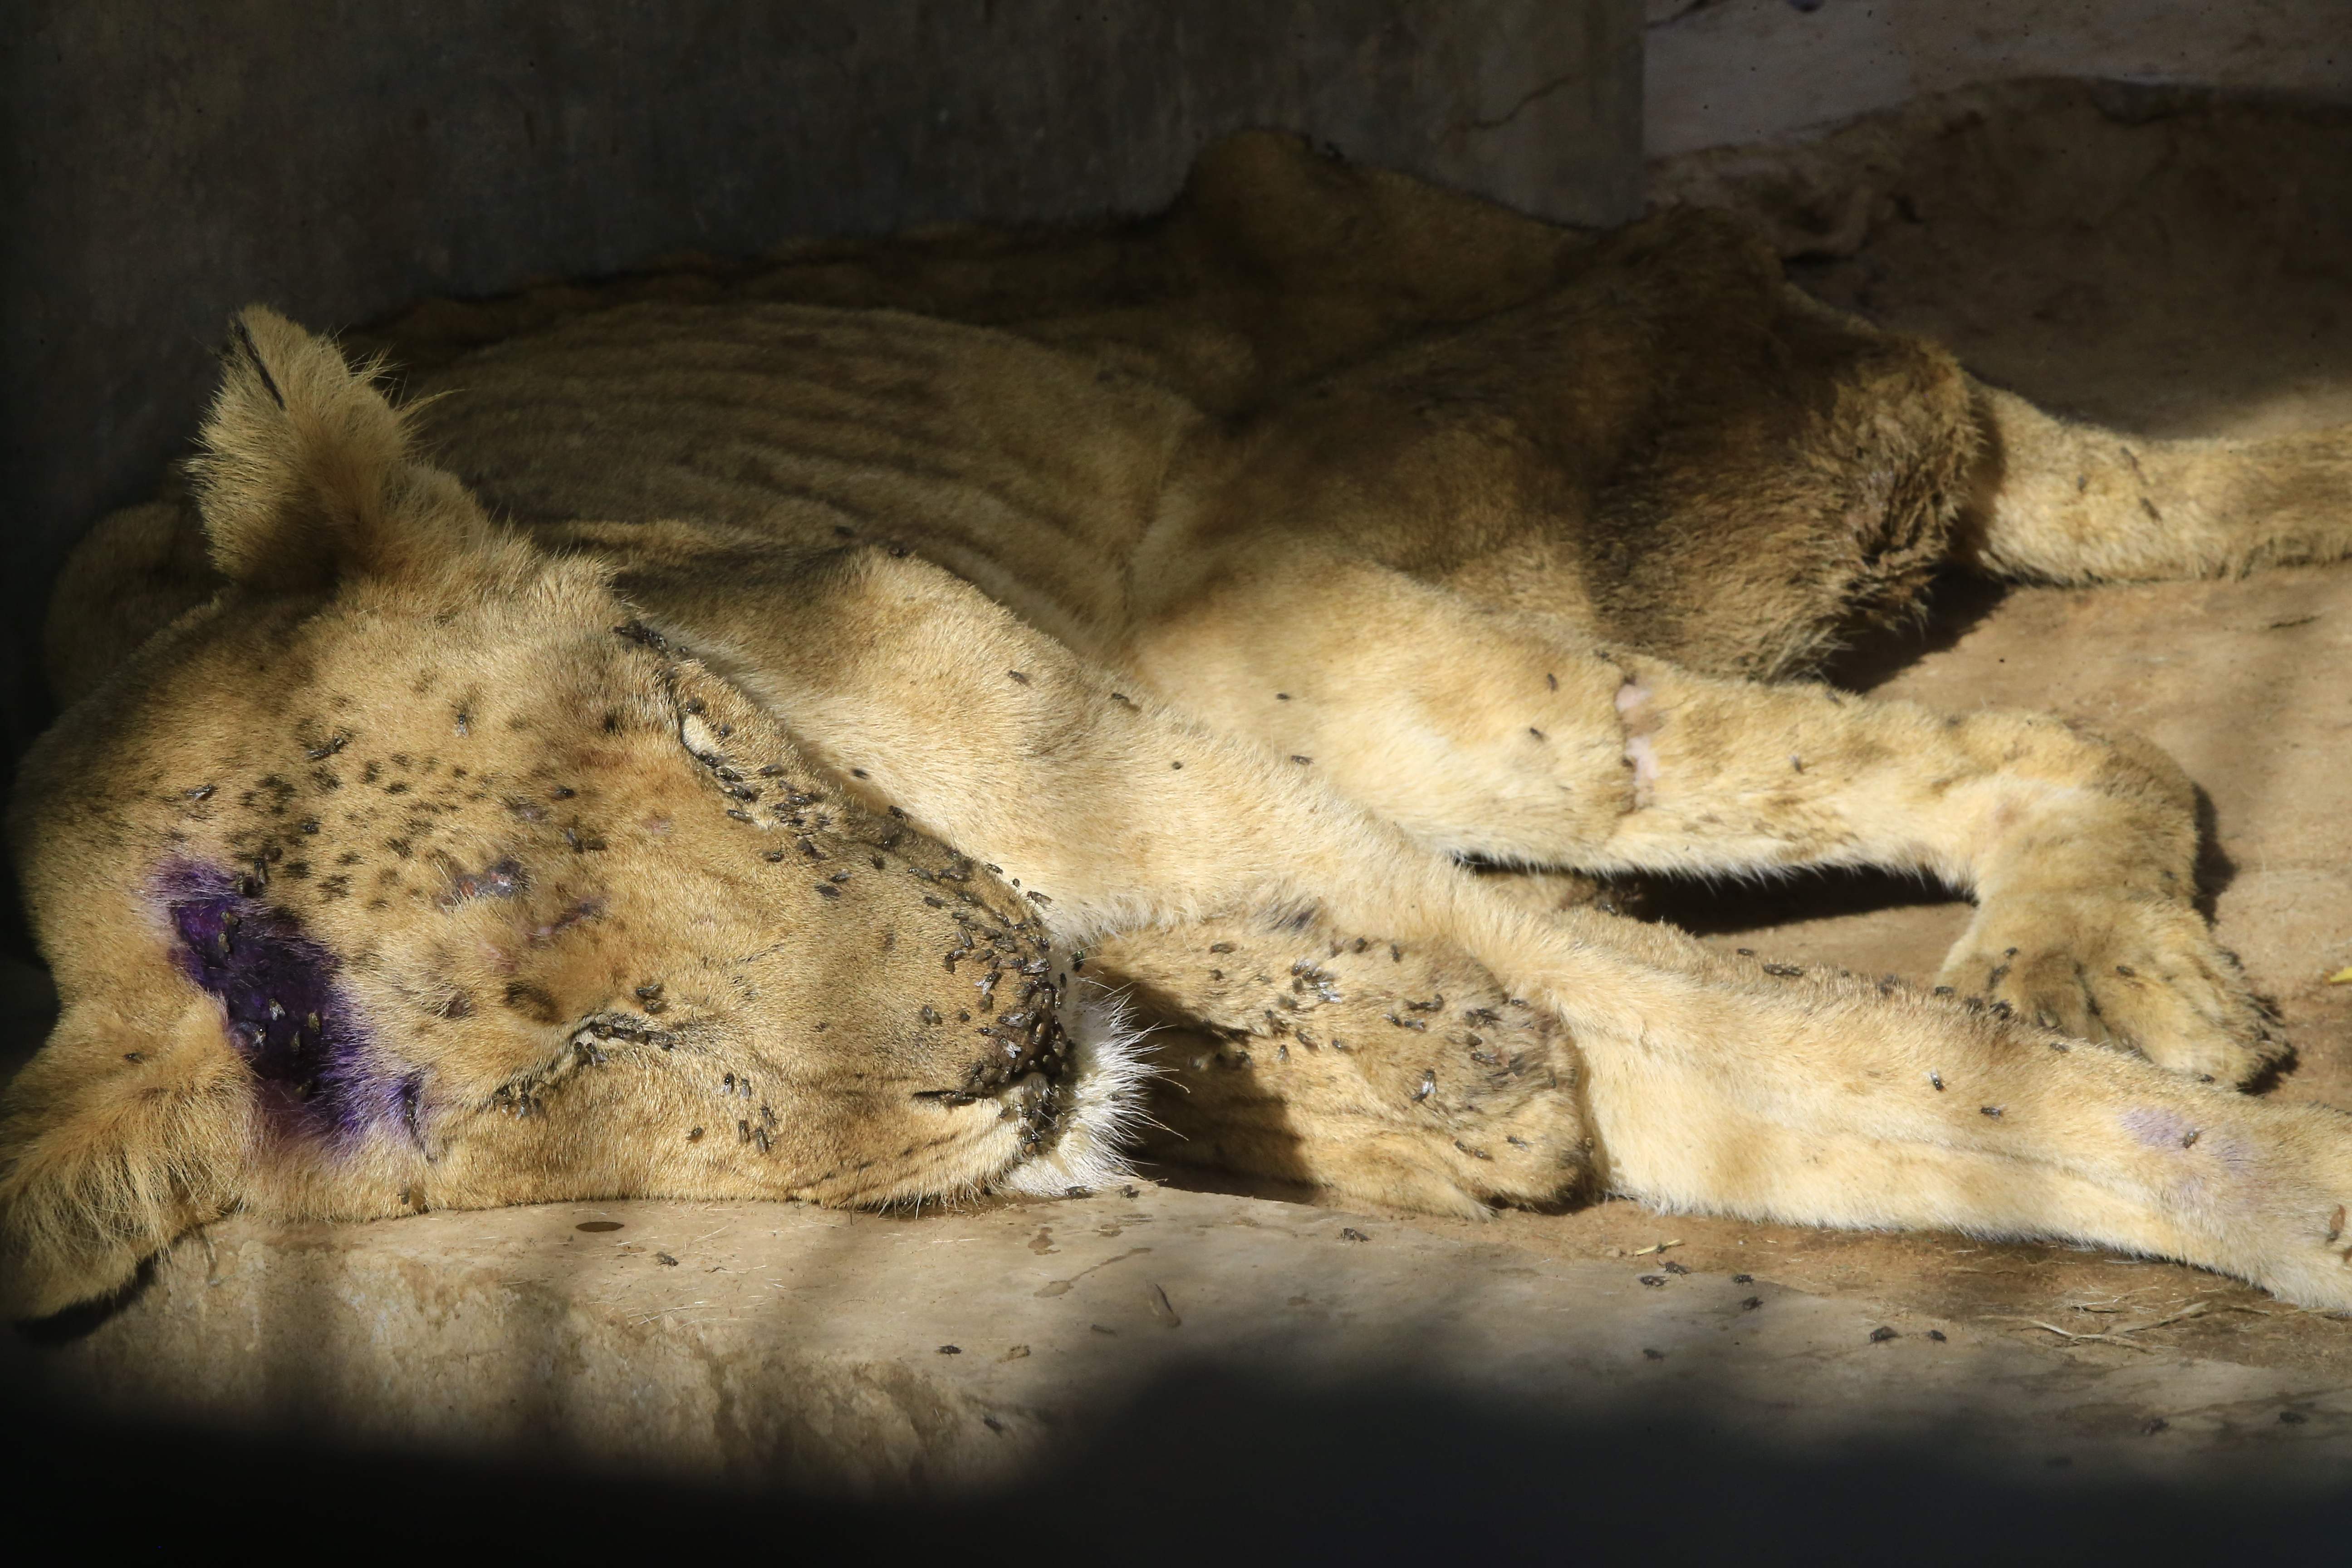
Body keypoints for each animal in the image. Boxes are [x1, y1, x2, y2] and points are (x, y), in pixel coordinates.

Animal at [7, 132, 2352, 1322]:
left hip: (1295, 591)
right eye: (605, 1049)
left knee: (2061, 727)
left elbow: (1936, 1079)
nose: (1011, 1020)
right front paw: (1372, 1066)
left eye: (693, 726)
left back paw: (2093, 952)